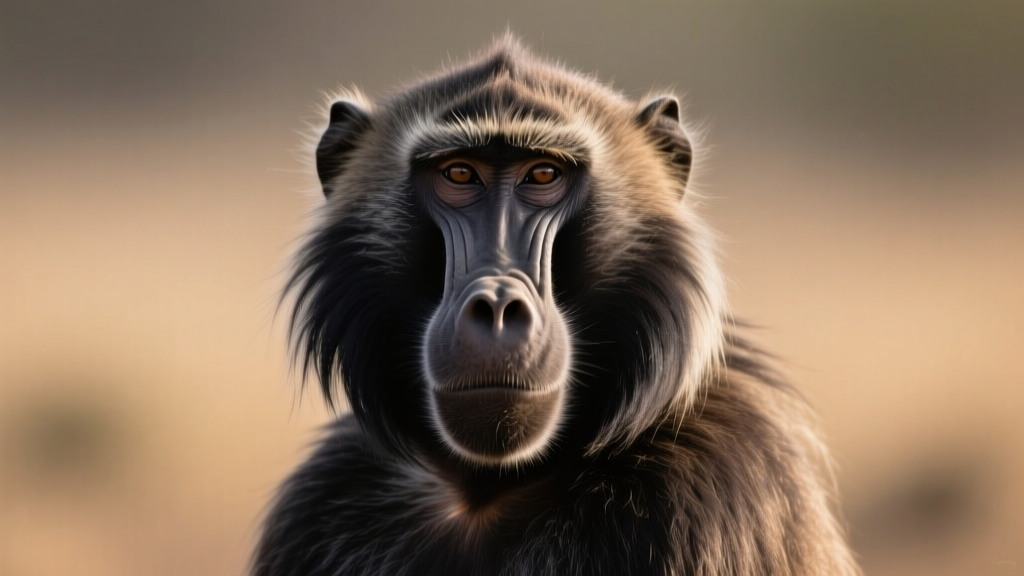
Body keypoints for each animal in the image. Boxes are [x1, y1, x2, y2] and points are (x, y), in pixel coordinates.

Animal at [253, 36, 861, 576]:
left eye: (543, 174)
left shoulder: (715, 493)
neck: (485, 492)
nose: (497, 306)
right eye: (459, 174)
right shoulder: (326, 497)